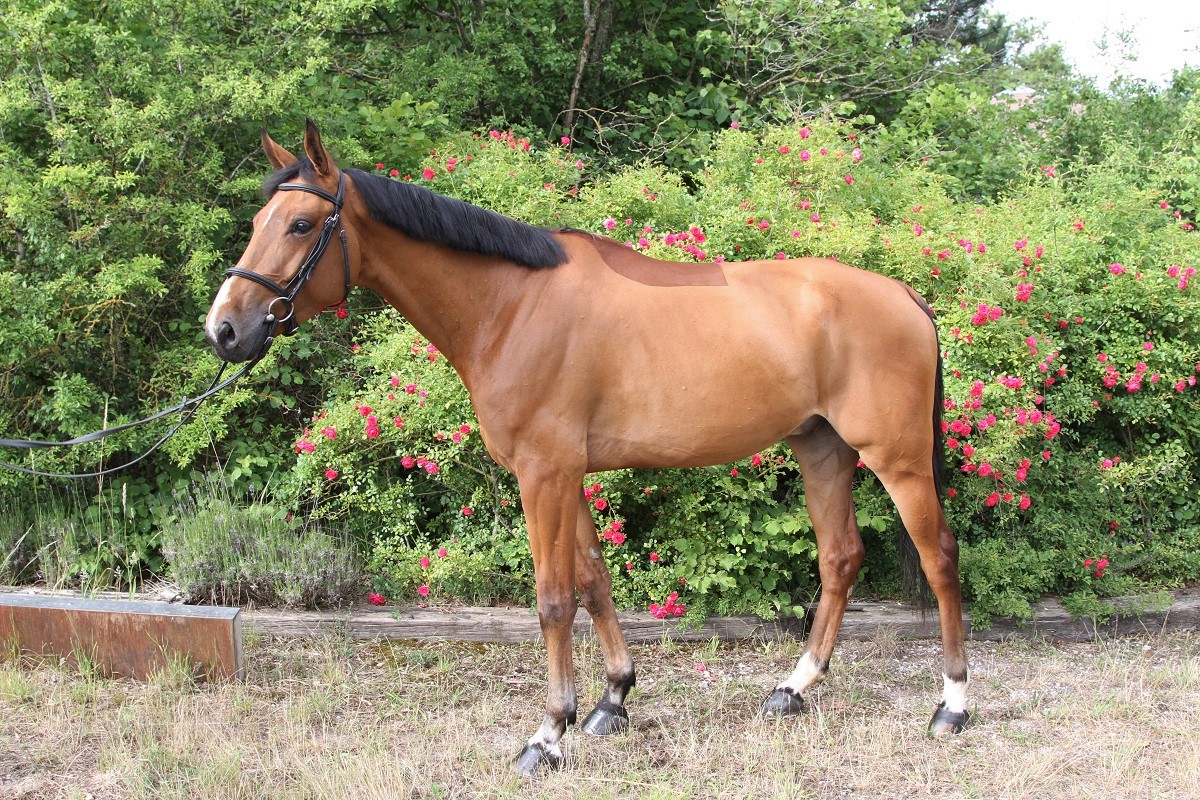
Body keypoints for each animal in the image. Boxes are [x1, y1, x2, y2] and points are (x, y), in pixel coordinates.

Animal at [205, 121, 970, 774]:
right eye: (259, 223)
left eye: (301, 224)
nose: (225, 330)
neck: (511, 306)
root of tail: (904, 295)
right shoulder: (566, 473)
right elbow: (596, 581)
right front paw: (612, 701)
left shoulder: (542, 473)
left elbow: (552, 600)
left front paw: (548, 735)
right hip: (822, 451)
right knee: (840, 558)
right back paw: (794, 688)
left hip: (897, 461)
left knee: (939, 558)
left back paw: (953, 706)